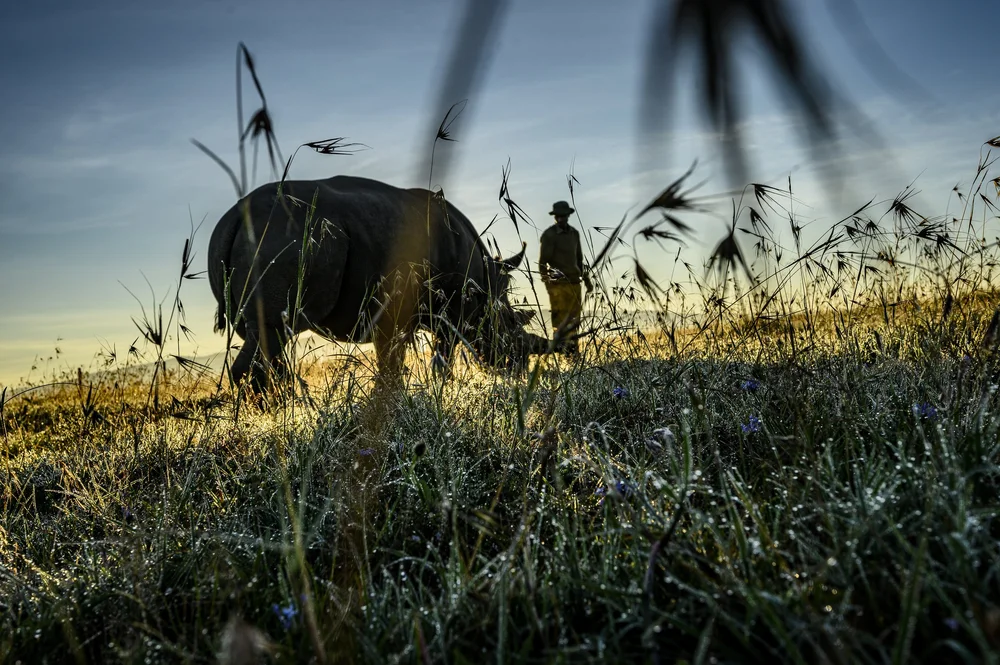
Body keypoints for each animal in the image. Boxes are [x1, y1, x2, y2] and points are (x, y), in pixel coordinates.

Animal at [207, 175, 549, 392]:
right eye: (513, 326)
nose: (519, 370)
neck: (485, 285)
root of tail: (234, 215)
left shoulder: (395, 316)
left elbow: (390, 364)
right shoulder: (450, 313)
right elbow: (441, 361)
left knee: (265, 340)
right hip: (287, 234)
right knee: (272, 333)